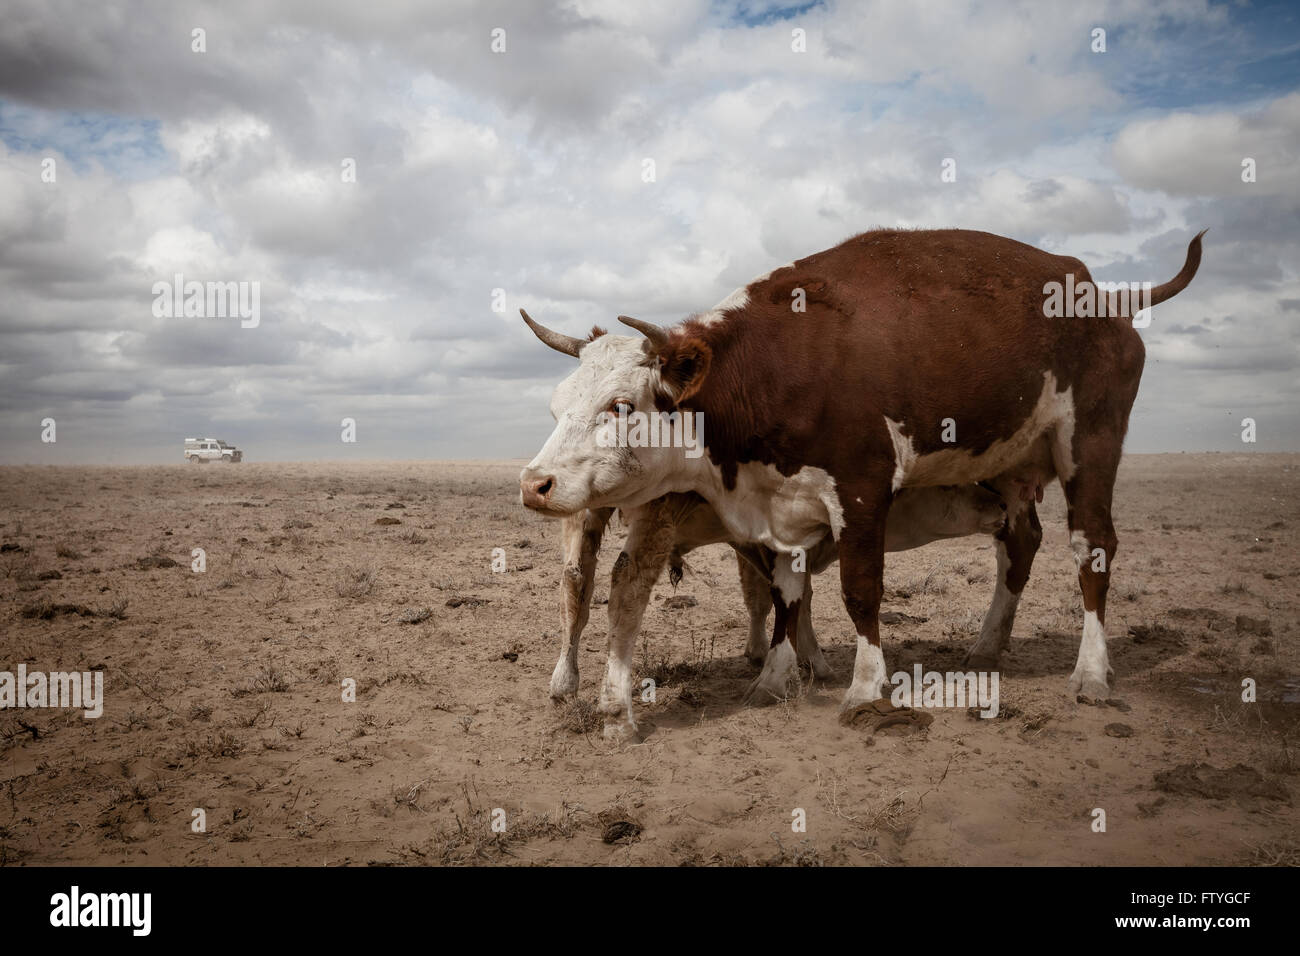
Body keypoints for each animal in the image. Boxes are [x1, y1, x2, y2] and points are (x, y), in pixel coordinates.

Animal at [547, 484, 1006, 738]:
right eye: (951, 486)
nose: (1001, 505)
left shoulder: (762, 546)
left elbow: (772, 598)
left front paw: (773, 656)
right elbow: (791, 600)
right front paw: (810, 664)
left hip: (580, 513)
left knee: (575, 584)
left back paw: (564, 681)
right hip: (655, 514)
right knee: (626, 585)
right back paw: (617, 715)